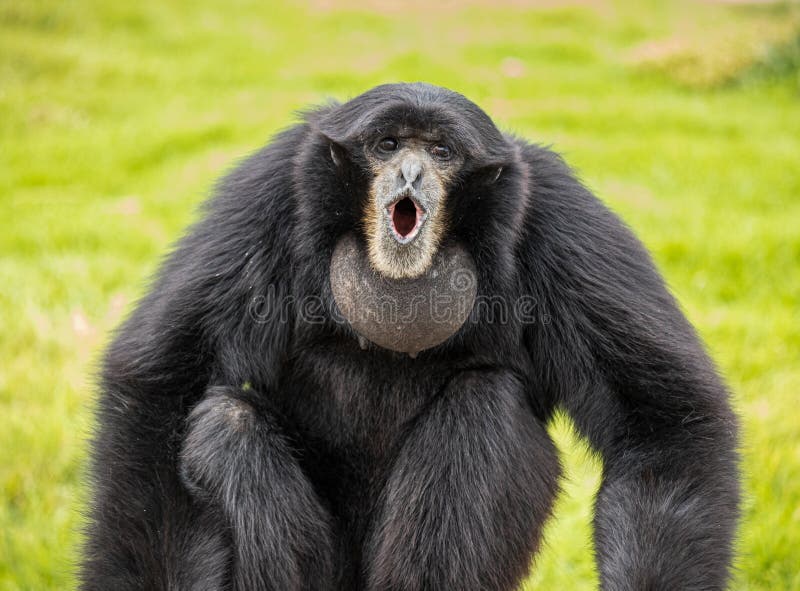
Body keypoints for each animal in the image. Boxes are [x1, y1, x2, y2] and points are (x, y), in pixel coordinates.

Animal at [81, 82, 740, 591]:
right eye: (389, 145)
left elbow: (663, 420)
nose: (412, 173)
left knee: (481, 404)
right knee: (227, 424)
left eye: (441, 150)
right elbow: (159, 384)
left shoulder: (558, 214)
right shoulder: (269, 191)